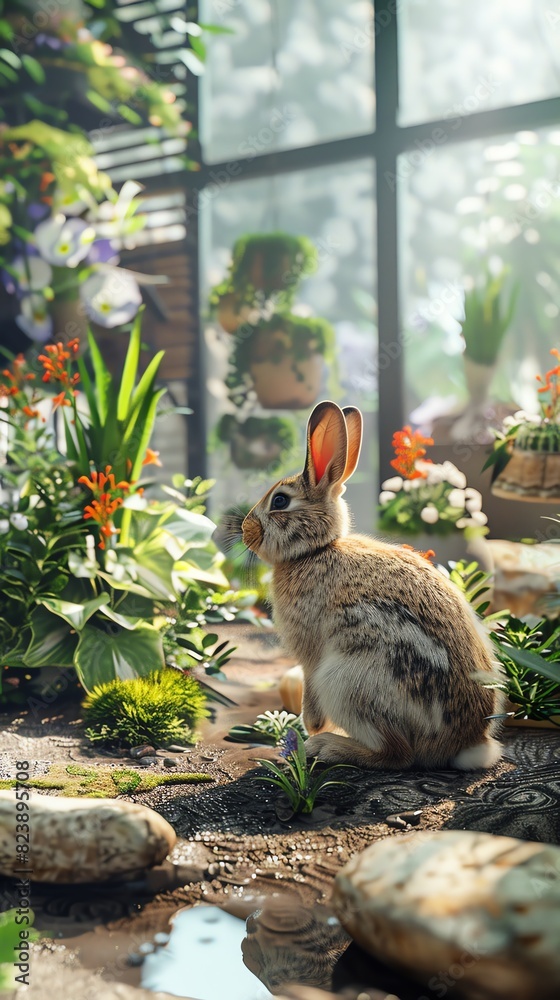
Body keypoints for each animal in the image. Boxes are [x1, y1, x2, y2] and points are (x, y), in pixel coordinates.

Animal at [242, 400, 504, 771]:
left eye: (279, 501)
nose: (246, 530)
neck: (315, 551)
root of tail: (465, 744)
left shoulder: (310, 657)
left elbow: (310, 696)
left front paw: (309, 728)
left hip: (346, 683)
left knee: (396, 754)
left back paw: (329, 746)